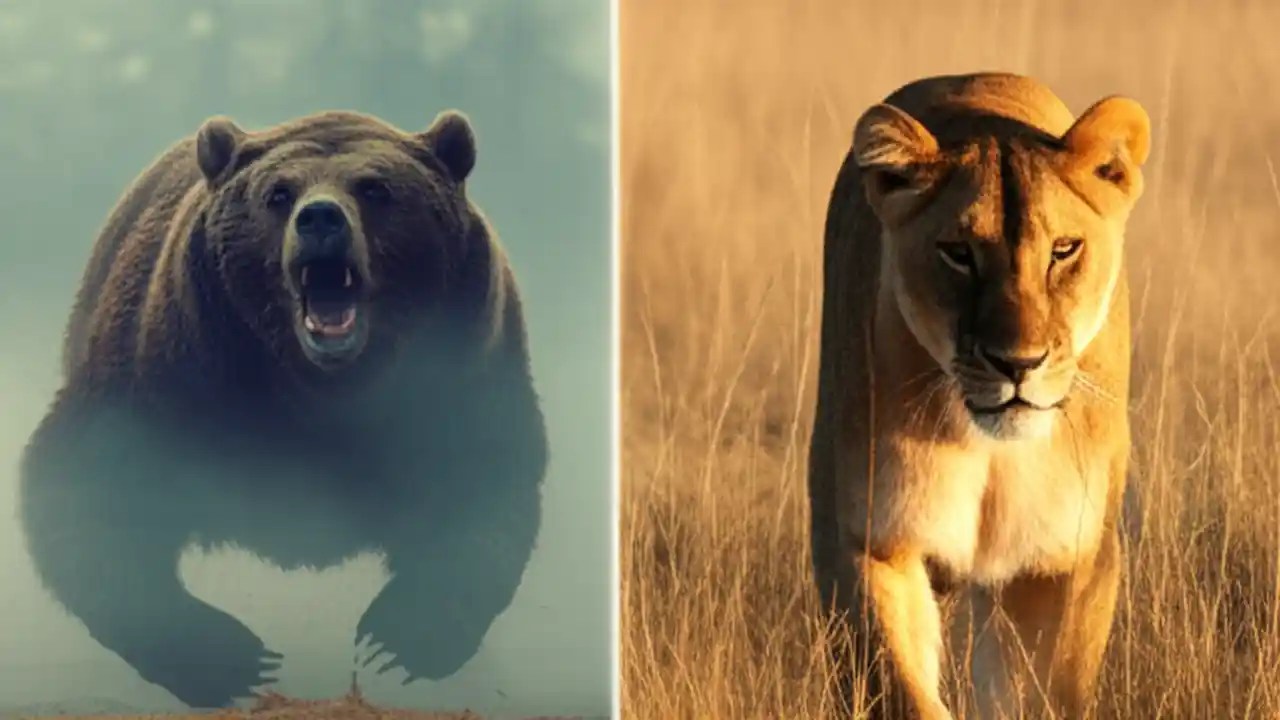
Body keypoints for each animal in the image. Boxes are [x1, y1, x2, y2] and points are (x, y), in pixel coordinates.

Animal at [17, 109, 548, 709]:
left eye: (375, 187)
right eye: (277, 193)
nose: (320, 218)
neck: (318, 391)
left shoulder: (462, 370)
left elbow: (482, 489)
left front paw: (393, 641)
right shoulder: (169, 375)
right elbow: (85, 490)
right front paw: (233, 659)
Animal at [807, 73, 1150, 719]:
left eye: (1063, 250)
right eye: (958, 254)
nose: (1018, 363)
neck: (993, 451)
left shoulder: (1070, 564)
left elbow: (1042, 695)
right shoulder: (870, 543)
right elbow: (903, 691)